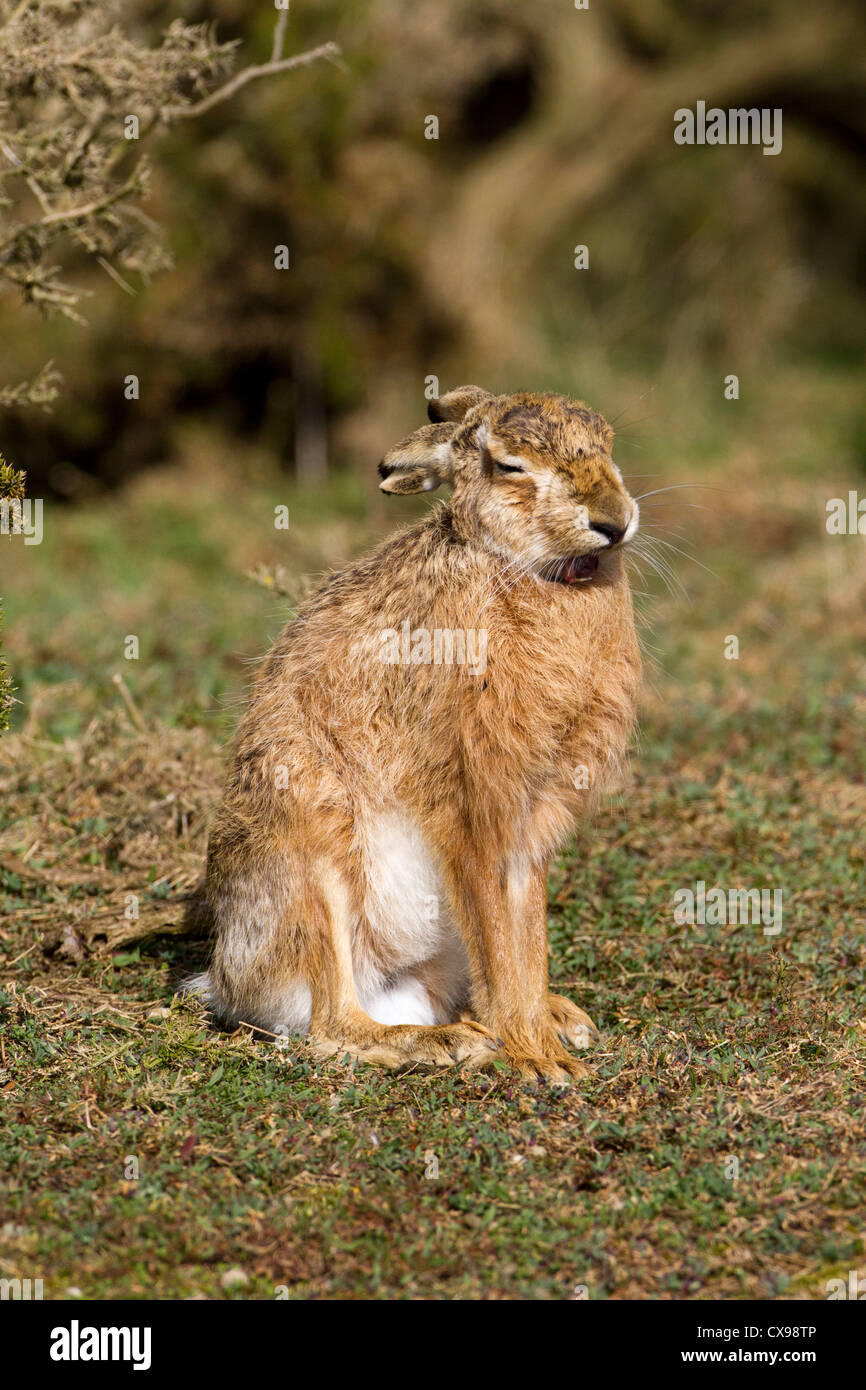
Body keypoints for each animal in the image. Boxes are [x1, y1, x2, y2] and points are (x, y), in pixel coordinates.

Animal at [185, 386, 641, 1081]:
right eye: (510, 466)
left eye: (608, 445)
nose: (614, 523)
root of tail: (230, 985)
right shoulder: (471, 797)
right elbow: (495, 929)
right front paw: (537, 1061)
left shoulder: (531, 816)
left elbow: (524, 931)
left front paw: (541, 1039)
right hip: (312, 859)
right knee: (332, 1028)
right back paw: (450, 1042)